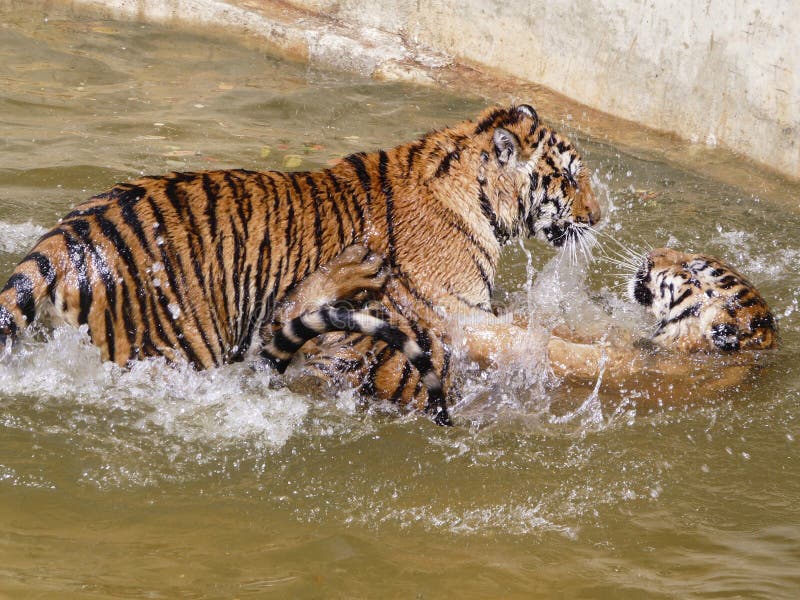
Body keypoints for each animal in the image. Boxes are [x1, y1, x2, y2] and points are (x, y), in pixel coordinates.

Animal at [0, 104, 600, 424]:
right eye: (571, 178)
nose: (599, 216)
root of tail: (66, 236)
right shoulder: (462, 313)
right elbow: (535, 344)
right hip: (179, 346)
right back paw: (352, 271)